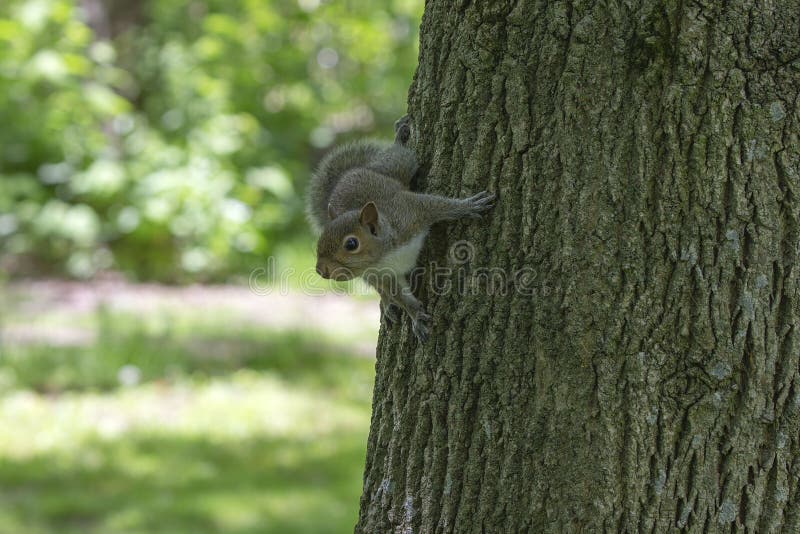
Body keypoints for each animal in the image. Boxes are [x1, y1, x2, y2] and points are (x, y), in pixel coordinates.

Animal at [306, 115, 495, 342]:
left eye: (351, 244)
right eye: (320, 240)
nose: (320, 270)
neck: (385, 255)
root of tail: (347, 176)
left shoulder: (411, 212)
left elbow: (438, 205)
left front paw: (467, 207)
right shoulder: (383, 275)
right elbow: (399, 295)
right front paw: (415, 316)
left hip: (397, 165)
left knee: (399, 154)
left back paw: (398, 136)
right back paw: (387, 304)